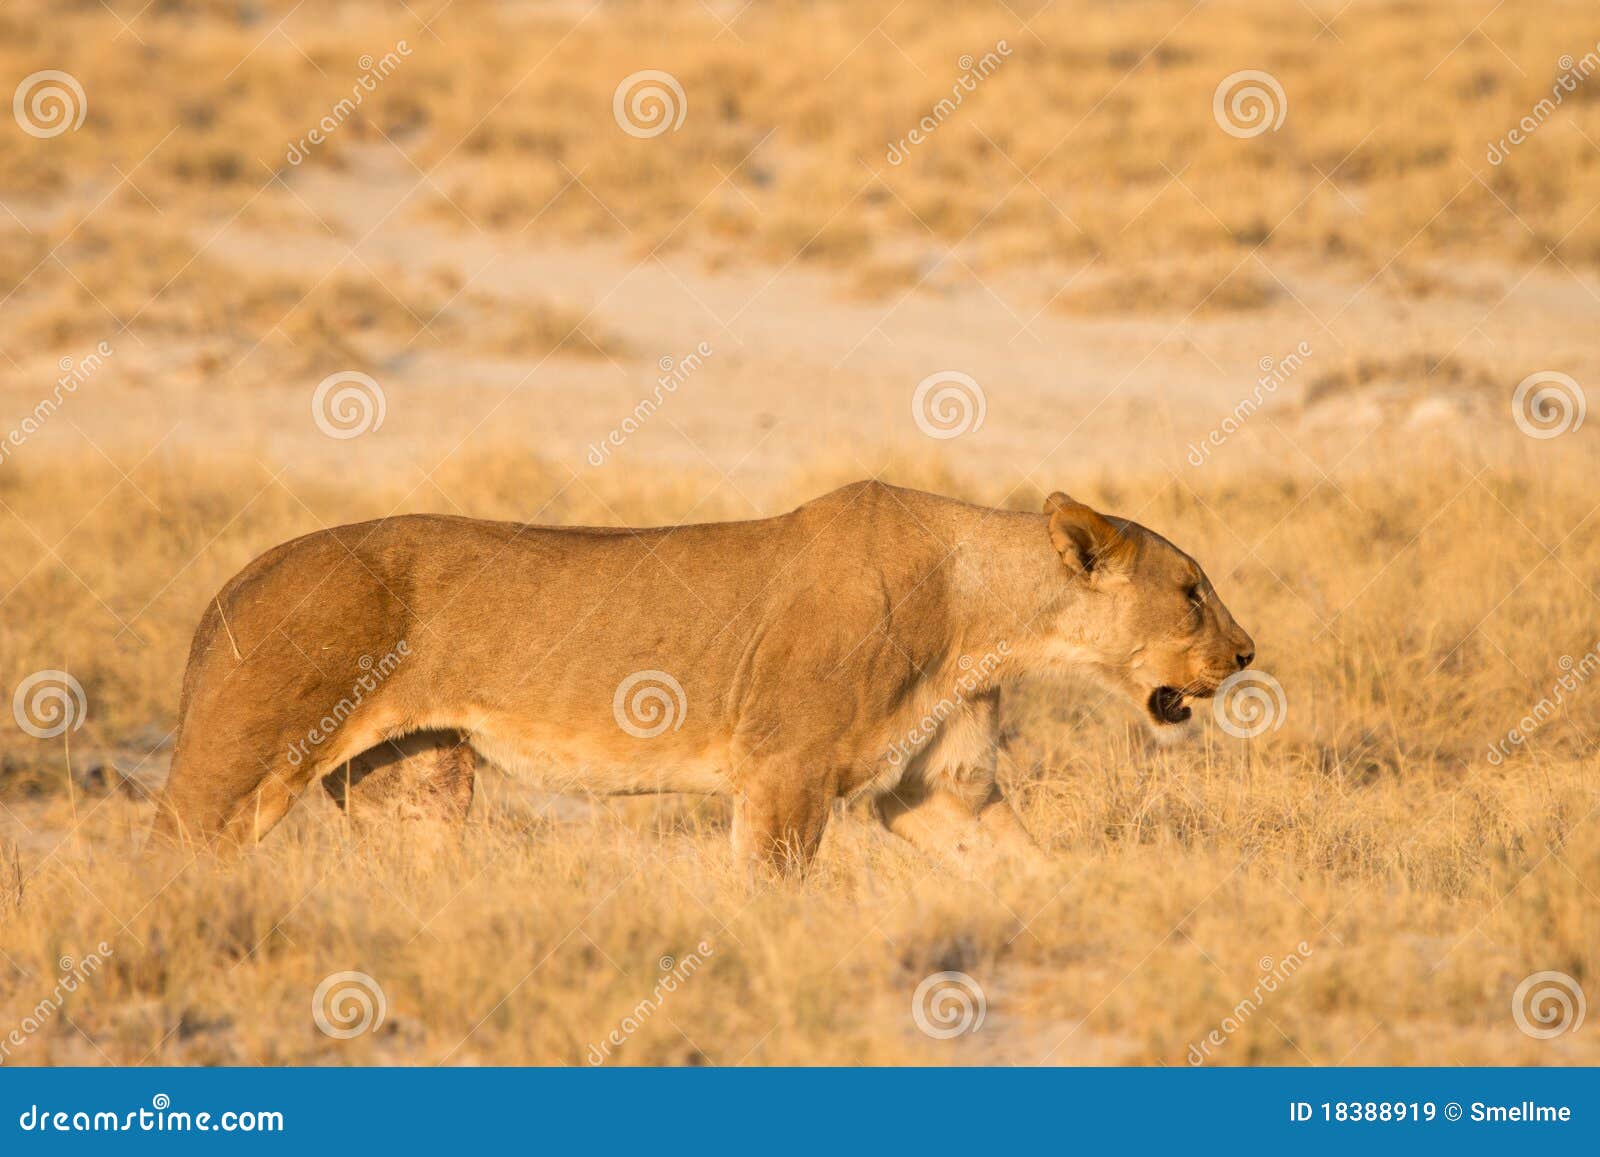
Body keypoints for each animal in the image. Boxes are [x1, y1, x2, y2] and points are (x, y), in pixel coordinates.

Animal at [153, 481, 1253, 871]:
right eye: (1192, 590)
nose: (1247, 654)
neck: (986, 618)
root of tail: (236, 577)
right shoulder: (785, 769)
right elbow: (774, 886)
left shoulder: (941, 787)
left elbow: (1026, 865)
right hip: (241, 766)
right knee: (170, 851)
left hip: (418, 783)